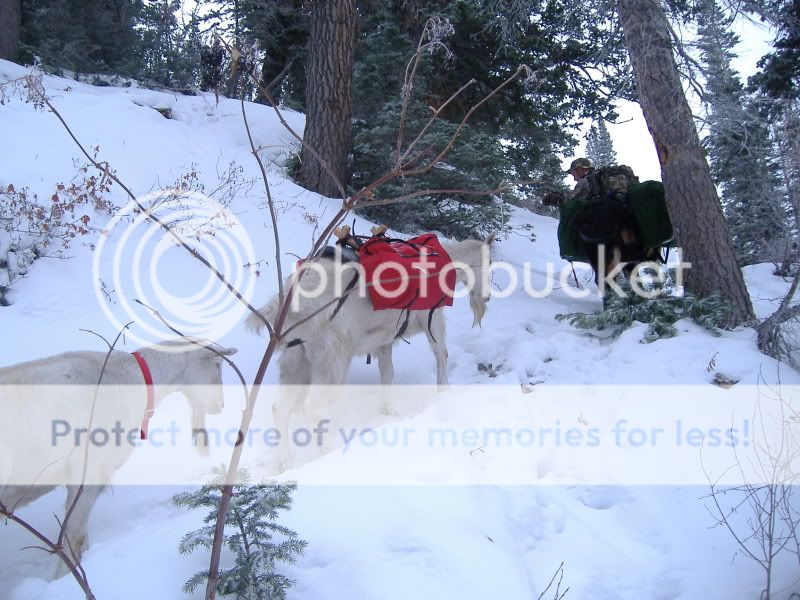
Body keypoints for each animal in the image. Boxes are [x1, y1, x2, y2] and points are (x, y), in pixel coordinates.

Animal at [246, 234, 494, 468]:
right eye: (490, 262)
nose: (488, 296)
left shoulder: (384, 340)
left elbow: (387, 372)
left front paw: (388, 411)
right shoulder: (431, 320)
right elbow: (441, 354)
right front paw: (444, 393)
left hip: (297, 361)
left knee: (281, 409)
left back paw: (285, 462)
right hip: (332, 361)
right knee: (315, 409)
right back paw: (326, 452)